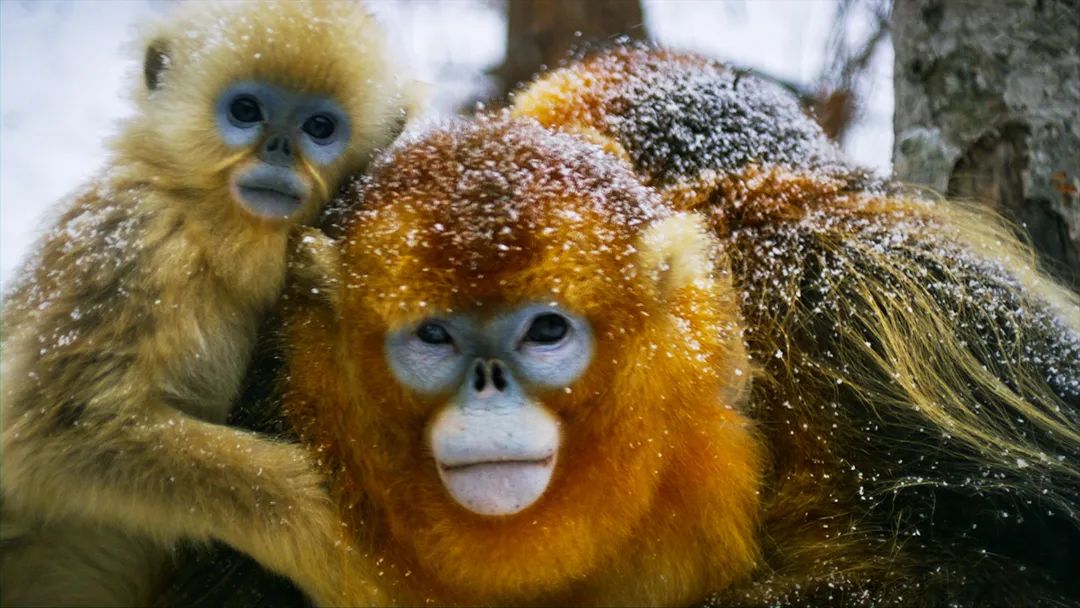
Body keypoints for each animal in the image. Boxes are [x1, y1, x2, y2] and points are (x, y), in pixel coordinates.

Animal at [0, 1, 418, 605]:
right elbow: (57, 430)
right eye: (246, 111)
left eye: (319, 128)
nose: (278, 150)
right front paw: (331, 546)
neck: (209, 225)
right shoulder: (133, 240)